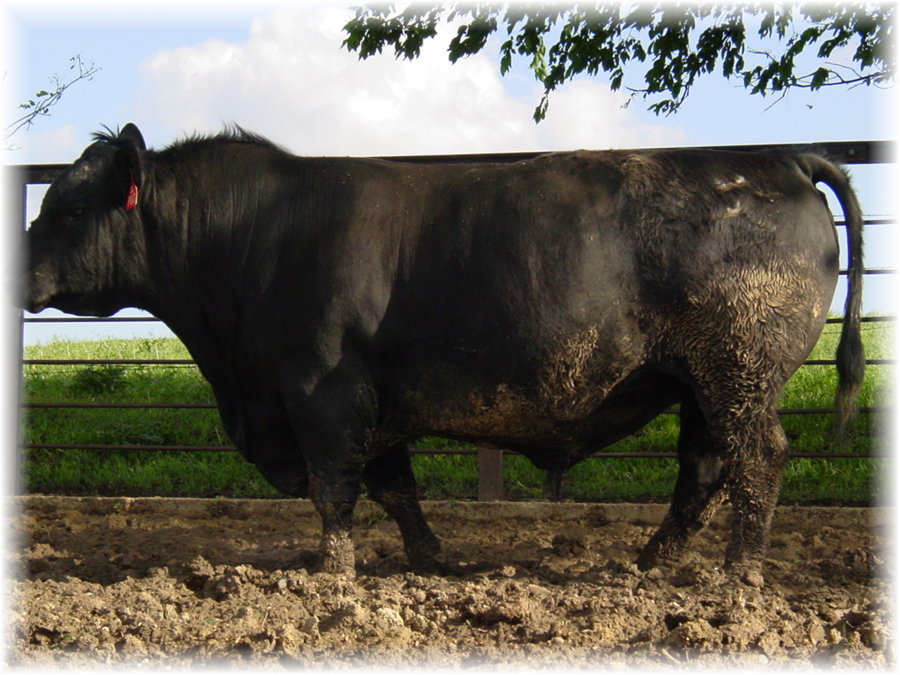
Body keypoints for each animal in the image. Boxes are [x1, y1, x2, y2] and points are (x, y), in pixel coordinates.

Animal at [0, 124, 864, 585]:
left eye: (70, 210)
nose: (11, 275)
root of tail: (780, 157)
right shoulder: (375, 396)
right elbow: (395, 486)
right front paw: (430, 558)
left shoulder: (322, 388)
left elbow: (337, 487)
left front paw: (333, 570)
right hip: (697, 385)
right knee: (704, 470)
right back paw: (649, 560)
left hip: (737, 372)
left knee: (758, 459)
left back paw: (738, 572)